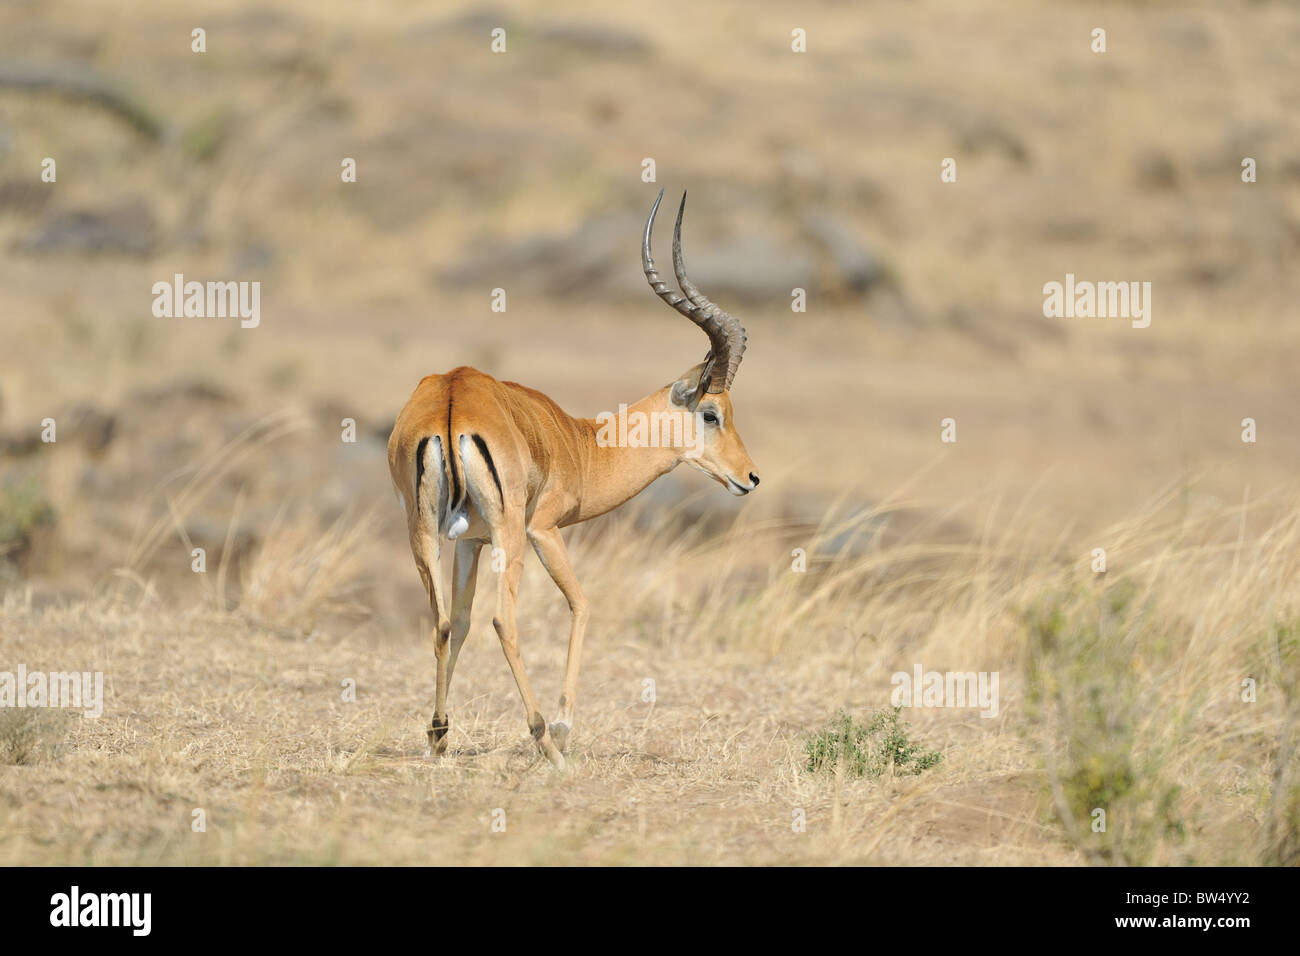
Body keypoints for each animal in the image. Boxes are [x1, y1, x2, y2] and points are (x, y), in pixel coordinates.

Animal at [387, 190, 760, 768]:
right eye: (712, 413)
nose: (749, 477)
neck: (581, 445)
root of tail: (452, 395)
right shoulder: (543, 530)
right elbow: (582, 604)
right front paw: (563, 728)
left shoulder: (470, 542)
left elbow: (462, 620)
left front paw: (438, 735)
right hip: (511, 535)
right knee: (505, 621)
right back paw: (544, 739)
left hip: (421, 531)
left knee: (444, 621)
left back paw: (440, 733)